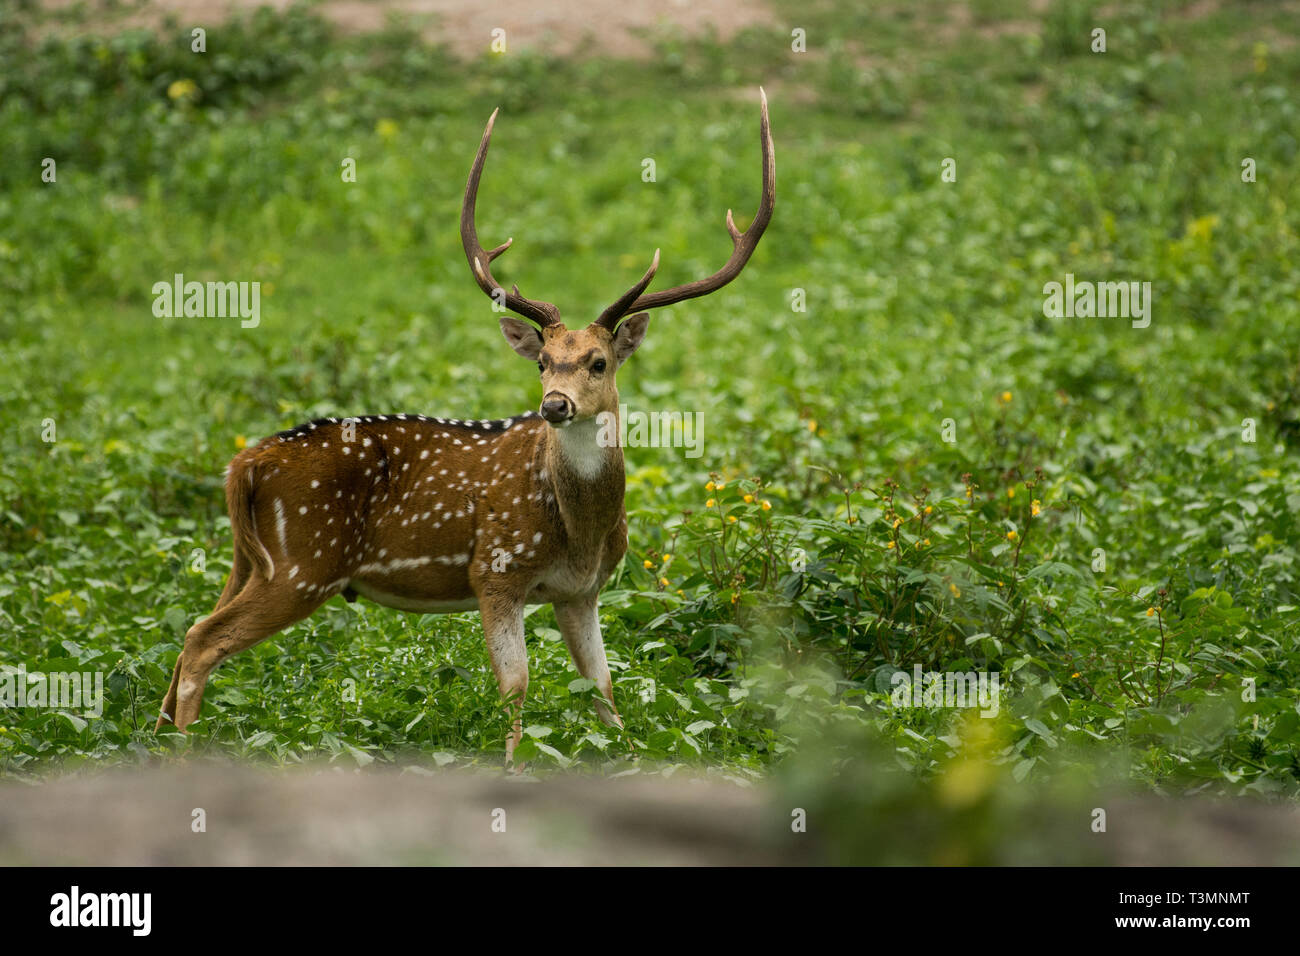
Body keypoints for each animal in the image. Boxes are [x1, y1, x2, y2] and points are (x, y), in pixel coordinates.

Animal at [155, 90, 775, 762]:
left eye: (598, 361)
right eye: (542, 361)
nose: (554, 406)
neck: (580, 528)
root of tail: (244, 463)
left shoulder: (580, 590)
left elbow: (603, 686)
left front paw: (631, 757)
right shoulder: (495, 569)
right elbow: (517, 685)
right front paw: (512, 763)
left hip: (253, 558)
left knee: (190, 633)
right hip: (305, 559)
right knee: (201, 639)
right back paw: (180, 751)